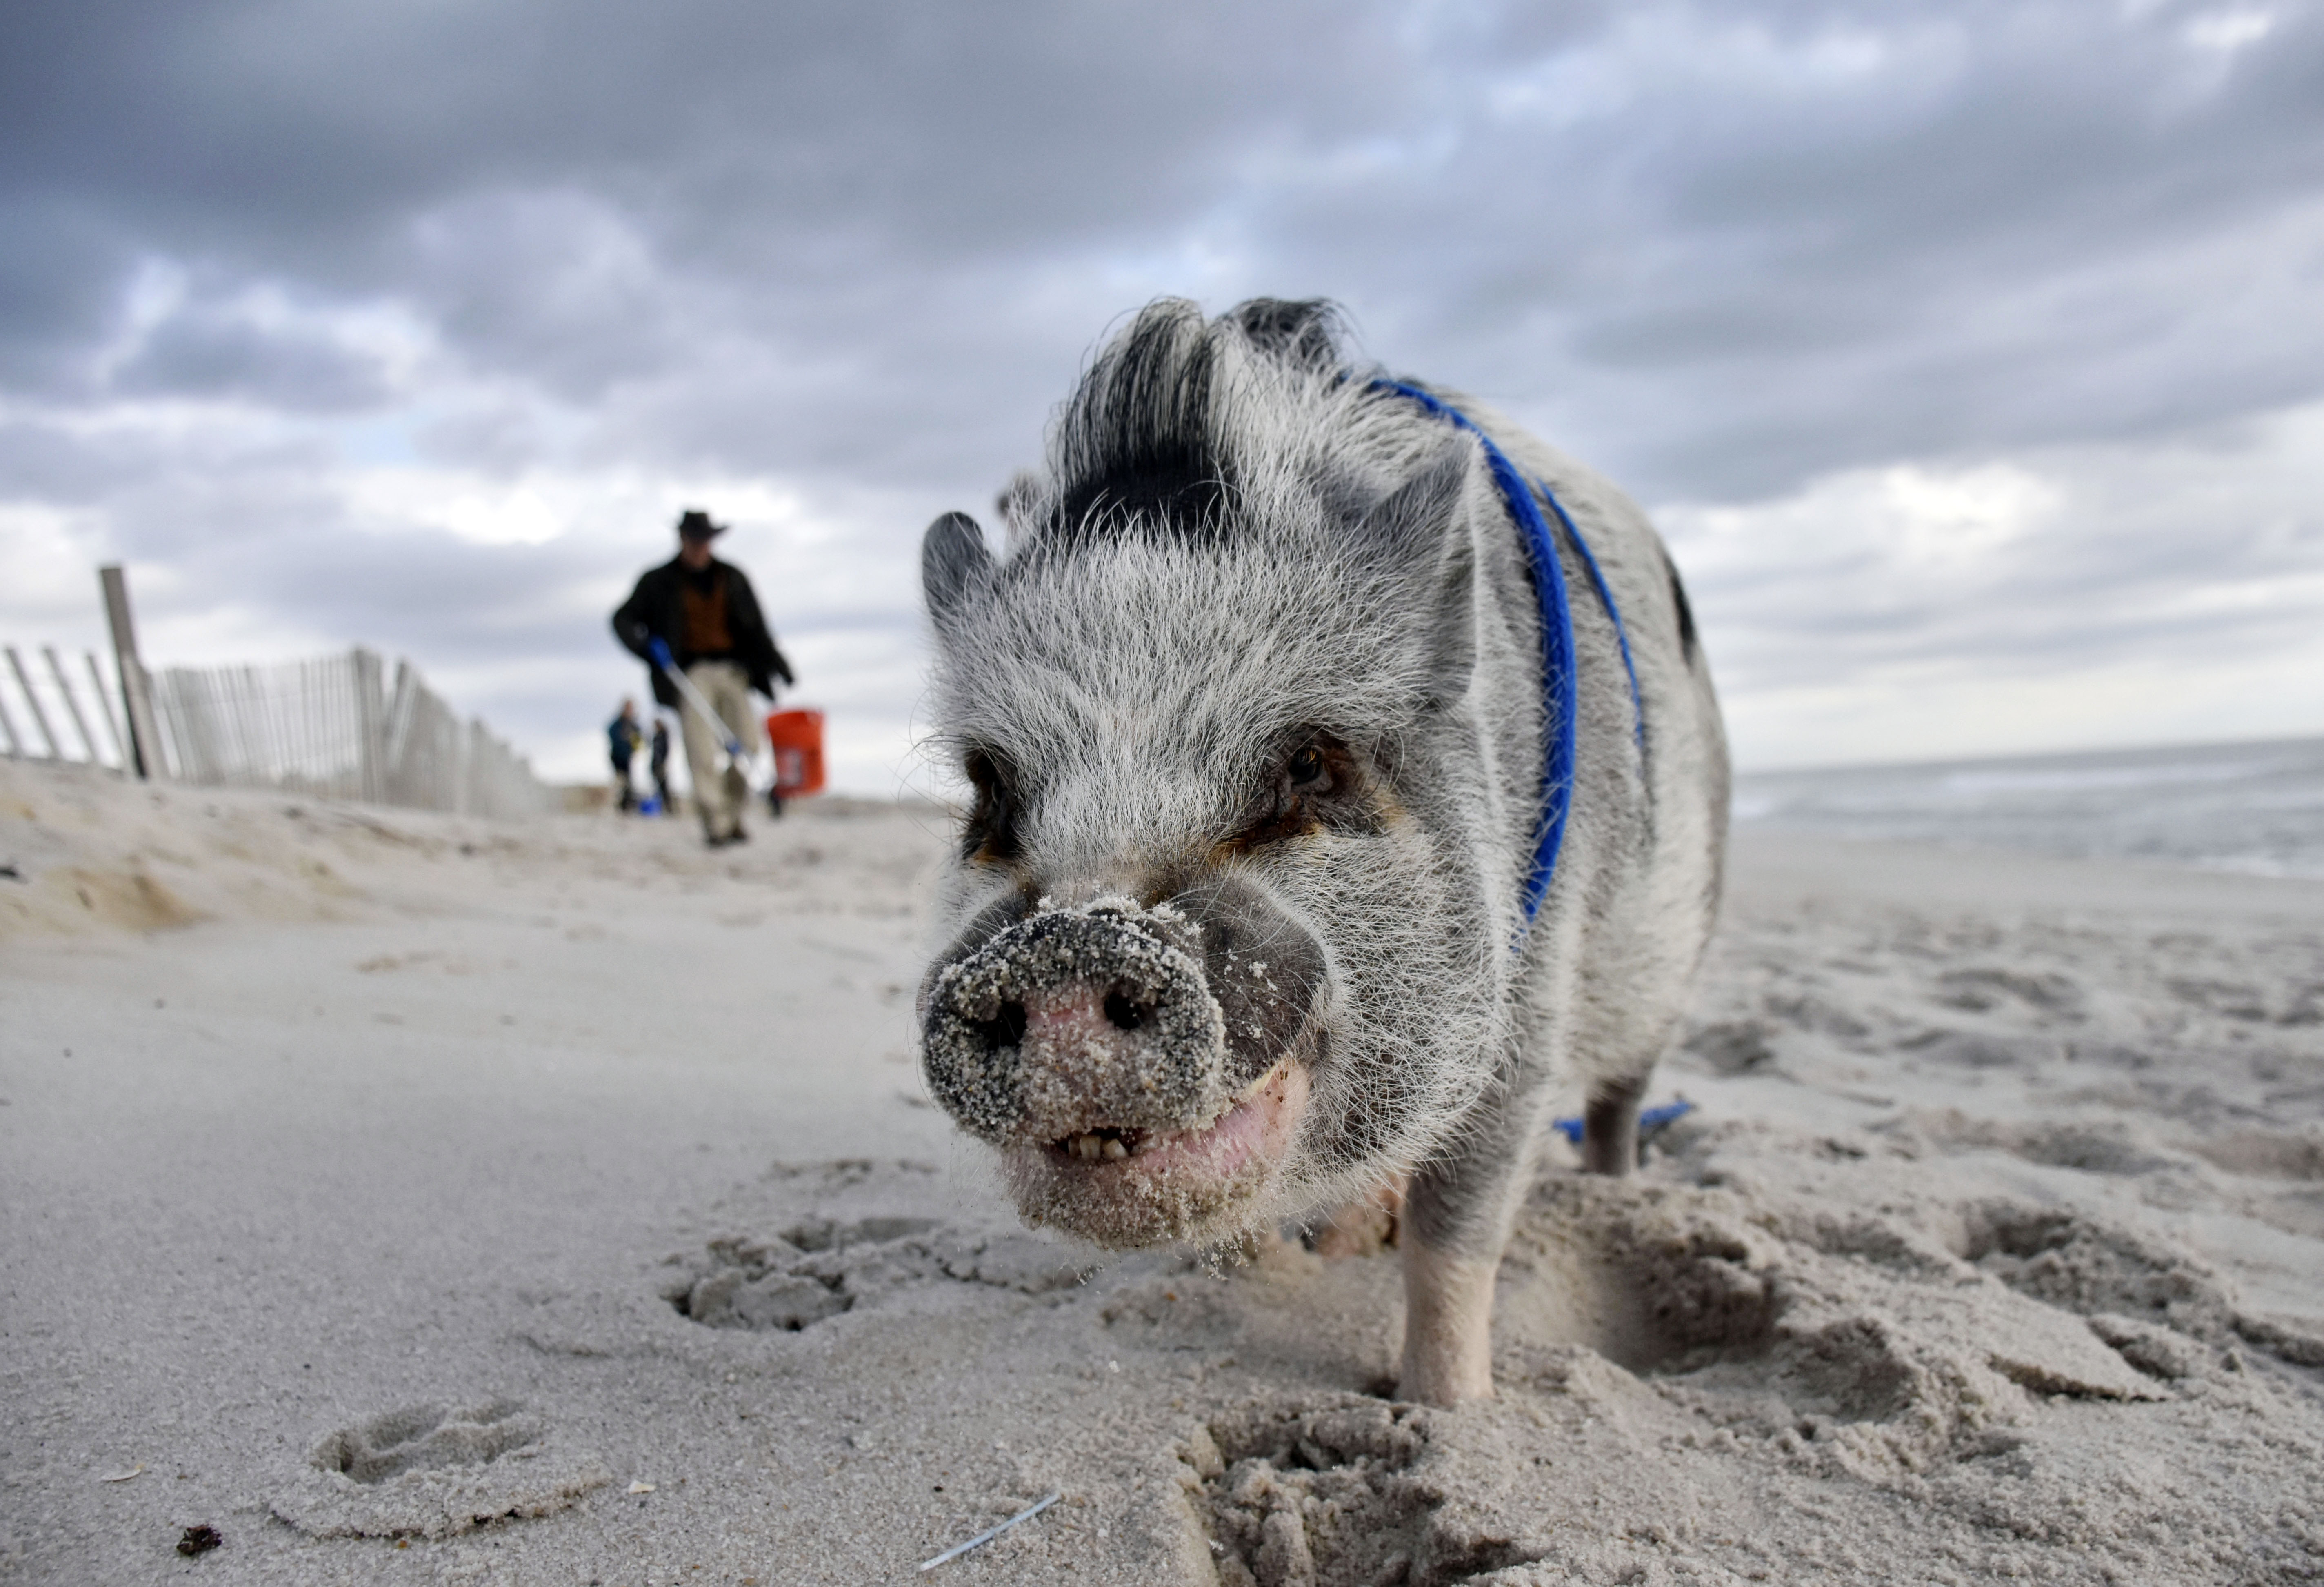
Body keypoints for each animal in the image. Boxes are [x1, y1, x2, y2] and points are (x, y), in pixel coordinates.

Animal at [916, 298, 1727, 1406]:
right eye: (990, 786)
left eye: (1309, 762)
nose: (1072, 938)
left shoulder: (1529, 997)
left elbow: (1455, 1237)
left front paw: (1447, 1413)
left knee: (1620, 1097)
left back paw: (1619, 1192)